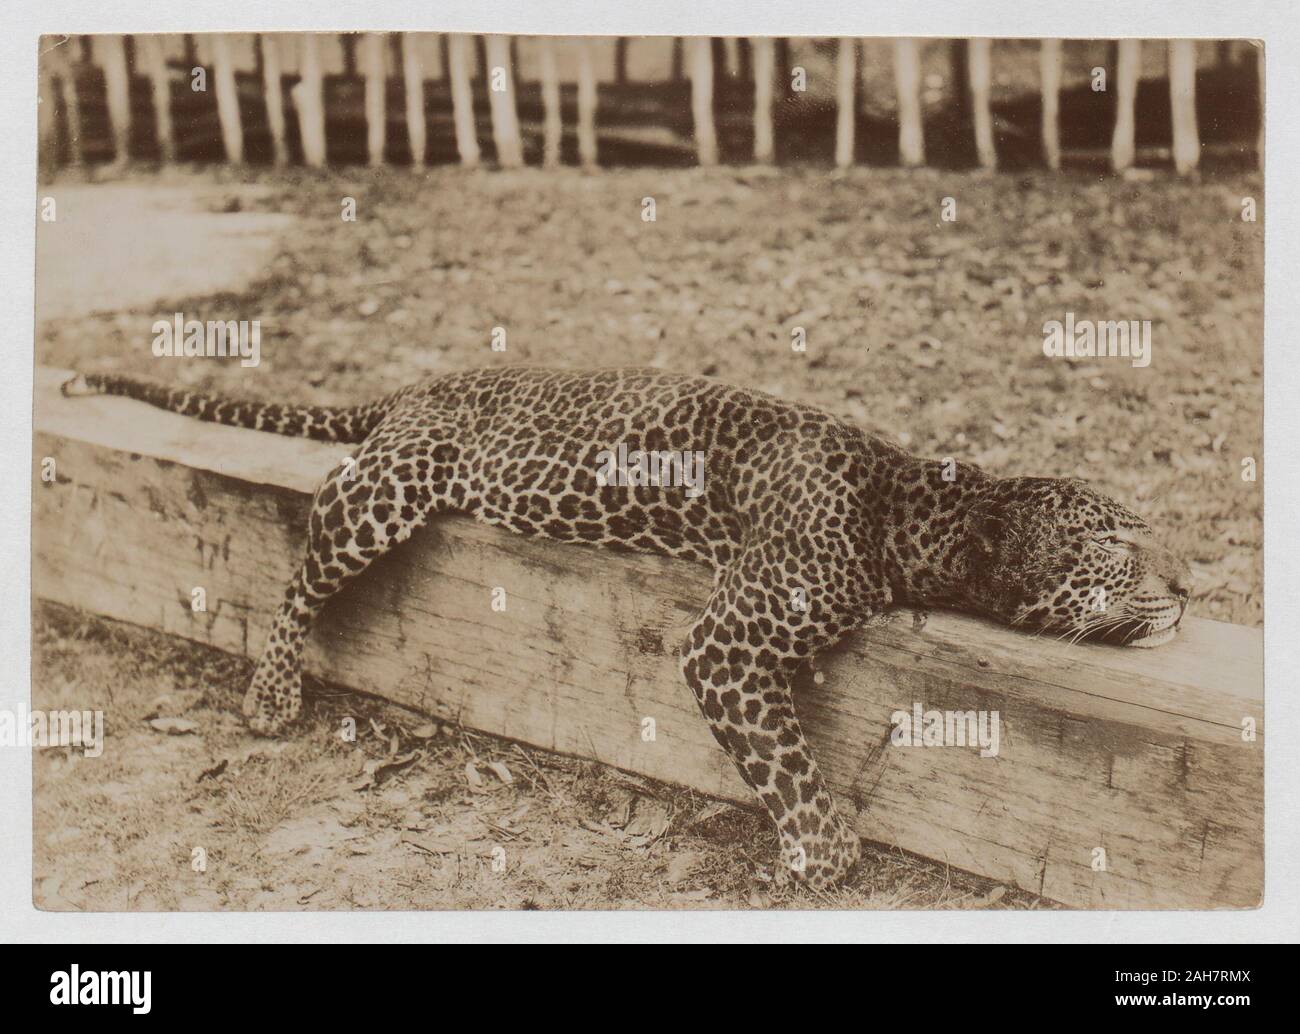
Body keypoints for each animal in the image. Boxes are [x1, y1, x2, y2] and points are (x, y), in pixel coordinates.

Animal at [61, 367, 1191, 888]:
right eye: (1114, 542)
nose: (1192, 580)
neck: (903, 510)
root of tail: (420, 382)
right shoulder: (729, 641)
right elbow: (792, 771)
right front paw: (818, 861)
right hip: (386, 488)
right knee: (301, 568)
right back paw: (270, 693)